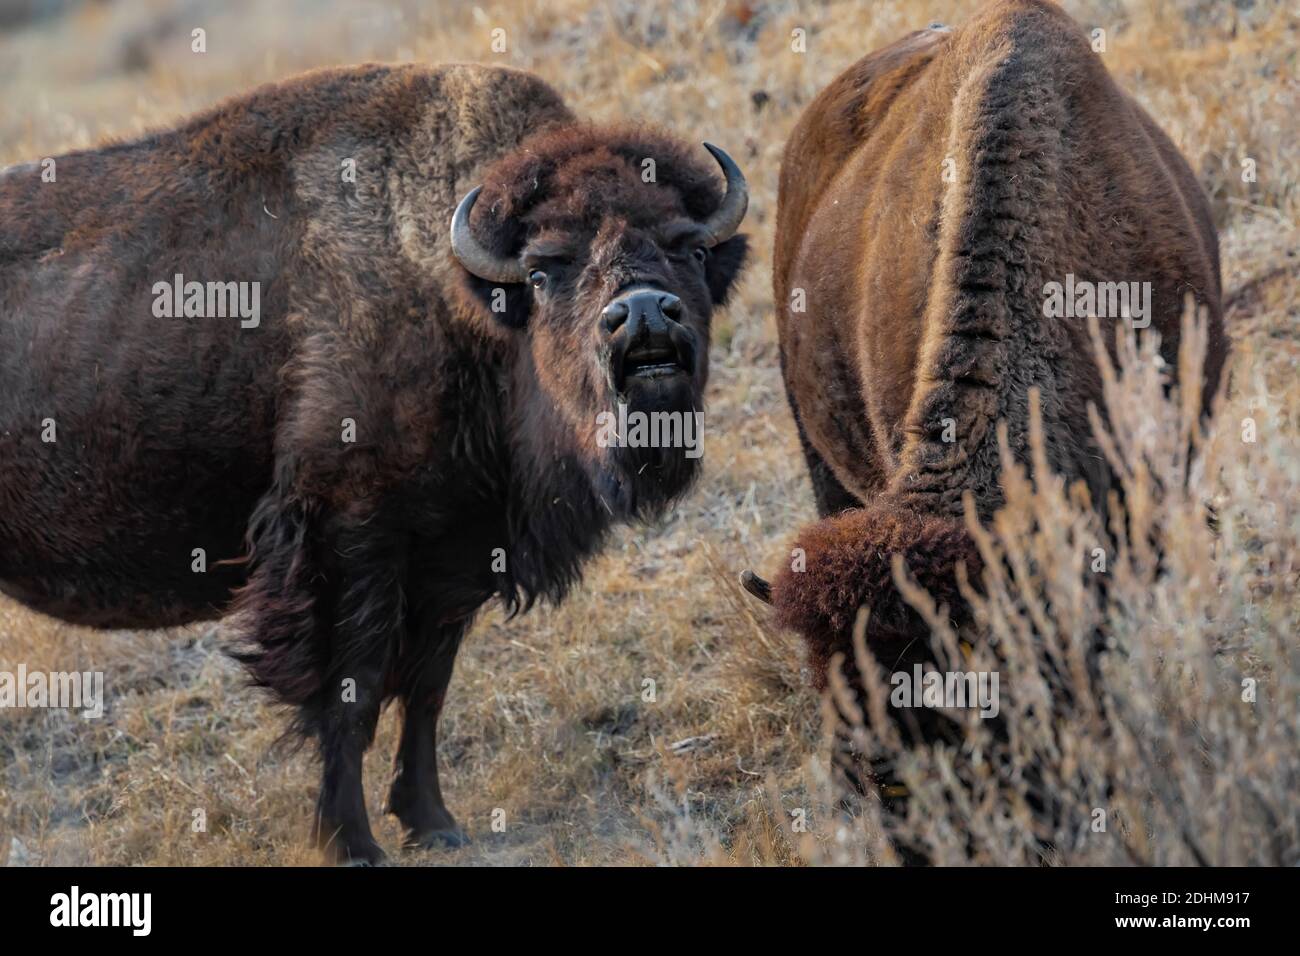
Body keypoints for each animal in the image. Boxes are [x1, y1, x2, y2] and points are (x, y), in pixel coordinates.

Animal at [0, 63, 749, 863]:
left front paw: (433, 821)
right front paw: (350, 841)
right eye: (546, 270)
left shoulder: (450, 555)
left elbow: (424, 692)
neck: (449, 290)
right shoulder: (349, 538)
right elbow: (350, 695)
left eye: (690, 249)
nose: (642, 313)